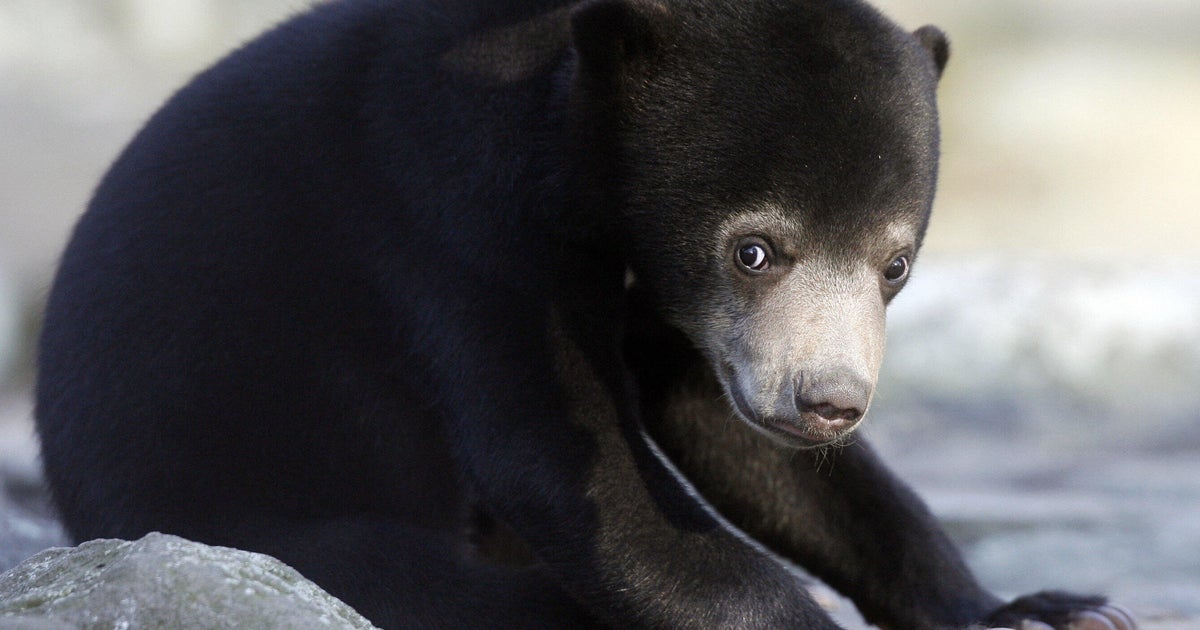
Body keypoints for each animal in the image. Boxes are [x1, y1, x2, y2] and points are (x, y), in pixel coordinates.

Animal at [34, 0, 1133, 628]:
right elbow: (573, 472)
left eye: (895, 262)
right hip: (236, 497)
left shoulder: (694, 322)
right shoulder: (452, 220)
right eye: (754, 248)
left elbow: (744, 445)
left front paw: (1043, 610)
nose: (829, 401)